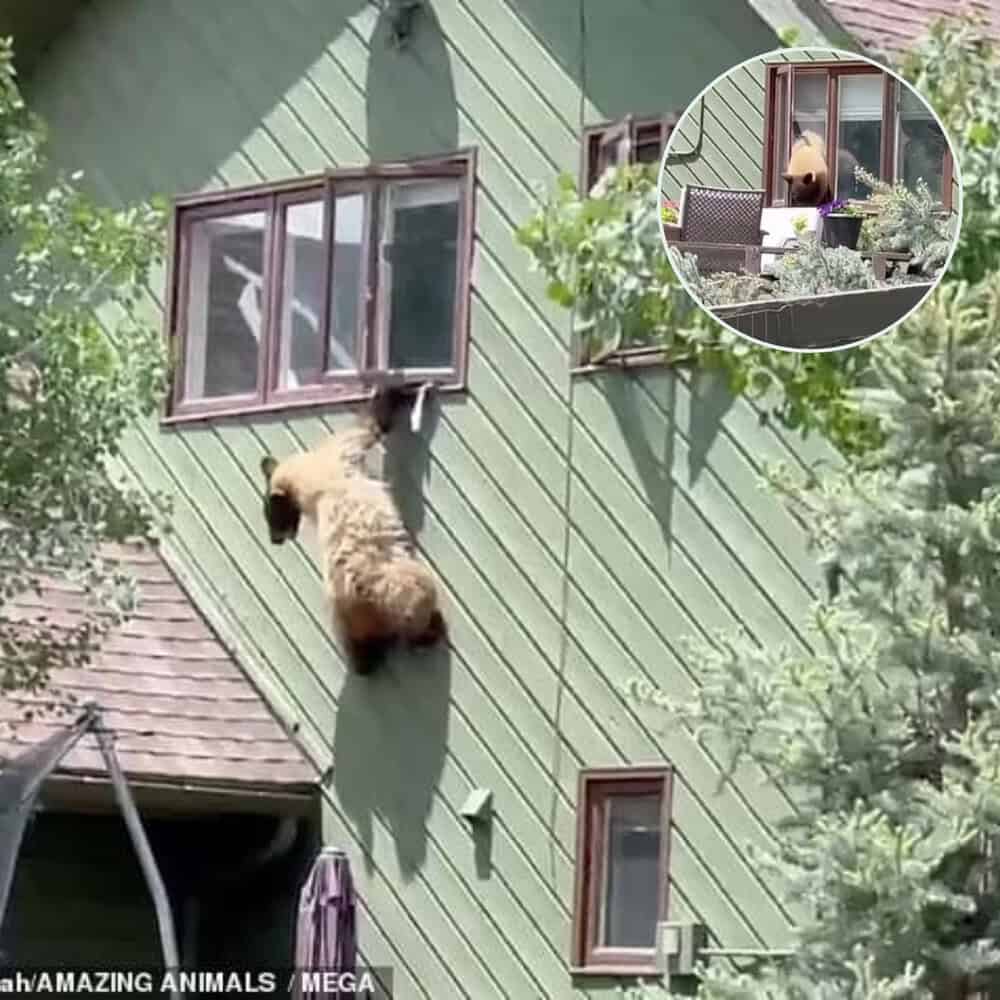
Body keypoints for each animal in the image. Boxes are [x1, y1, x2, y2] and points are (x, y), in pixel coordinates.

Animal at [260, 386, 446, 675]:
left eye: (270, 515)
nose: (274, 540)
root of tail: (364, 598)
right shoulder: (343, 453)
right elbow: (367, 428)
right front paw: (392, 393)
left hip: (343, 613)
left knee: (355, 640)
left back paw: (365, 659)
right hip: (400, 583)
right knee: (419, 601)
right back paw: (430, 629)